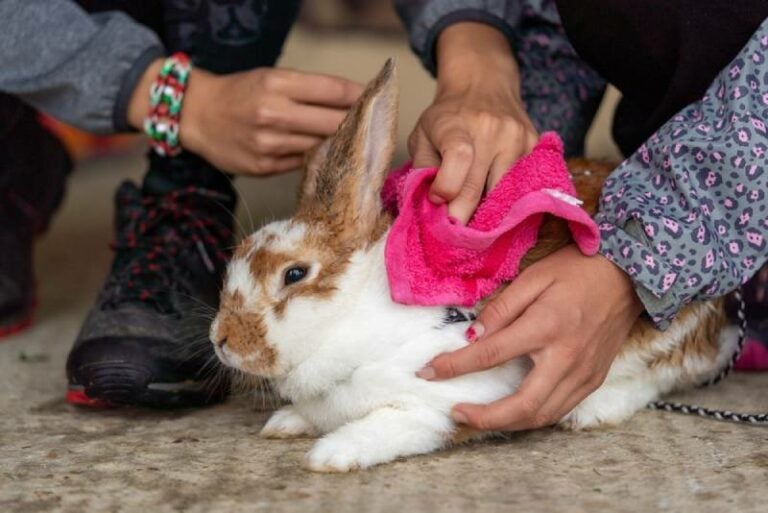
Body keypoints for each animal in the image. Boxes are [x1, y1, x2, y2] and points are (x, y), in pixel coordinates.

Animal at [209, 60, 736, 472]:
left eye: (294, 274)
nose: (220, 339)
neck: (355, 322)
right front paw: (285, 423)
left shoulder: (442, 403)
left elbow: (387, 426)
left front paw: (331, 455)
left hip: (663, 332)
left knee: (660, 376)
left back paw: (592, 410)